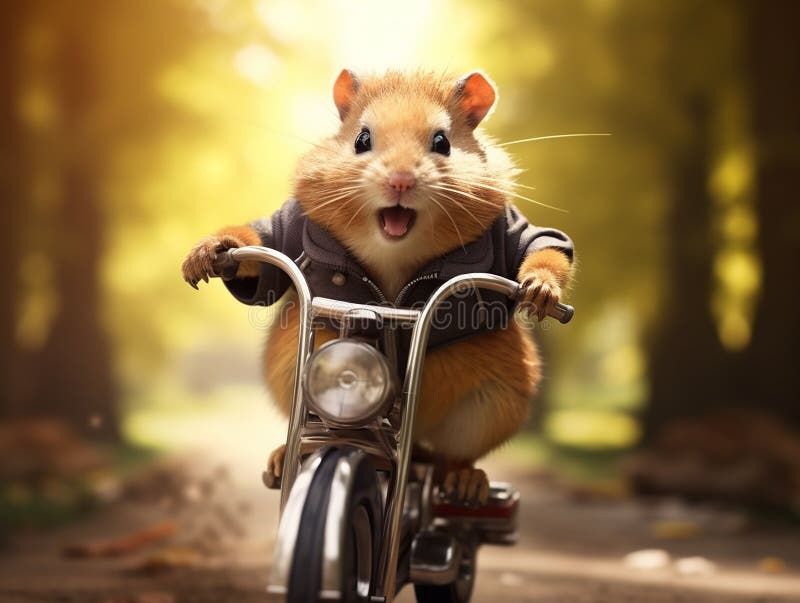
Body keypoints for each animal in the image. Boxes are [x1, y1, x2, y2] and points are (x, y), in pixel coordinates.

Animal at [182, 69, 574, 504]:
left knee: (452, 455)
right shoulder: (293, 224)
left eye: (442, 142)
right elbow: (263, 250)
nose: (400, 180)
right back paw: (284, 454)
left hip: (492, 403)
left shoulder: (507, 229)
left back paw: (464, 477)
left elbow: (541, 242)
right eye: (361, 139)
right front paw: (212, 250)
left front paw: (541, 286)